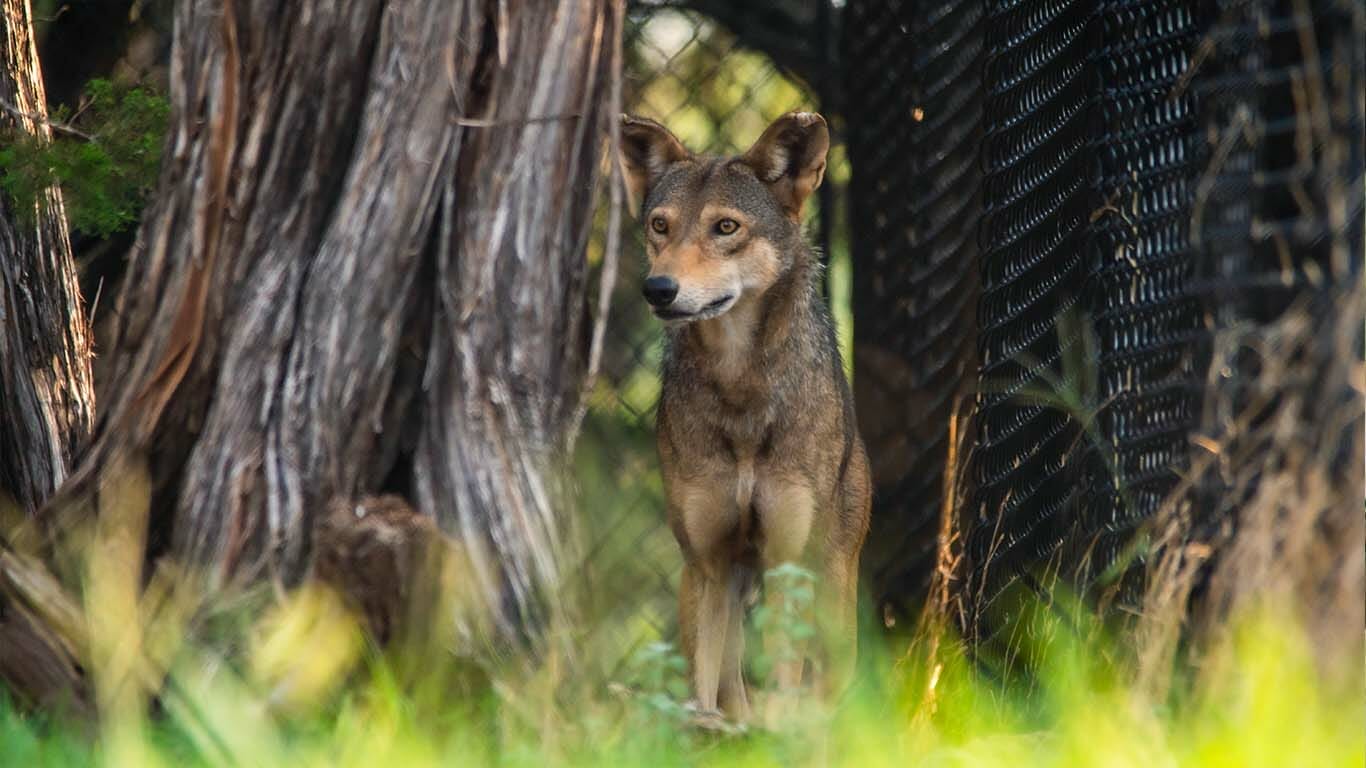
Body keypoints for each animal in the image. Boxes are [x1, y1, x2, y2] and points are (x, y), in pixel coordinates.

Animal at [619, 111, 871, 723]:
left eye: (726, 227)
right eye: (660, 226)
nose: (658, 288)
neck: (742, 394)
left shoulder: (787, 565)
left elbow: (783, 683)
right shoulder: (704, 565)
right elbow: (700, 689)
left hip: (831, 596)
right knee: (733, 687)